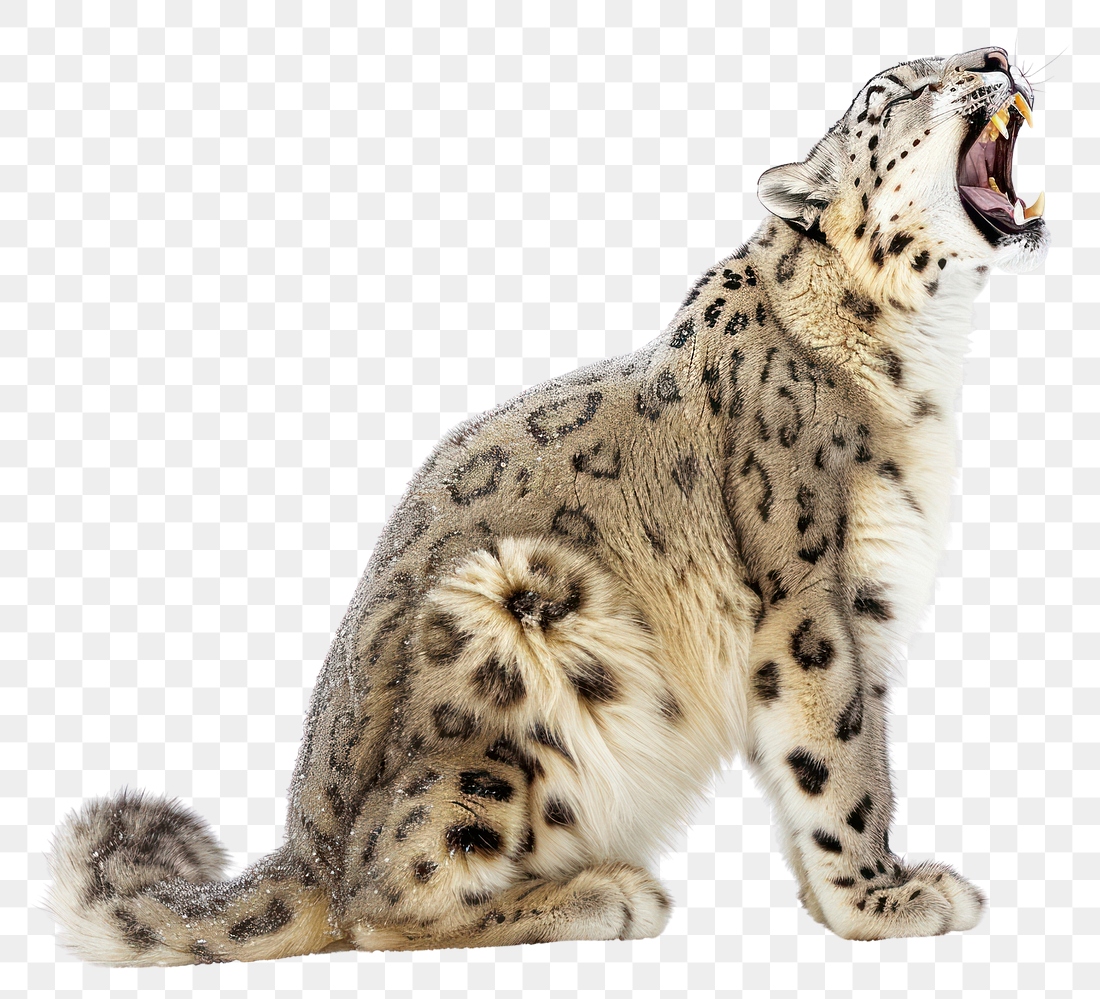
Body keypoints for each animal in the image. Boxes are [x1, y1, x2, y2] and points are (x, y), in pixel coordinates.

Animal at [48, 46, 1048, 965]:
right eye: (893, 90)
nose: (997, 53)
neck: (924, 353)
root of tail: (307, 843)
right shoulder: (810, 592)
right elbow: (836, 753)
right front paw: (882, 901)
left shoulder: (868, 598)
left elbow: (843, 744)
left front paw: (841, 896)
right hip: (510, 621)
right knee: (376, 903)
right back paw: (598, 894)